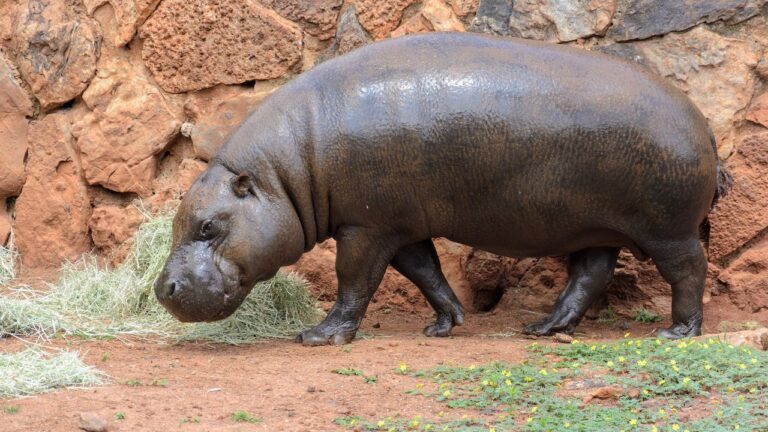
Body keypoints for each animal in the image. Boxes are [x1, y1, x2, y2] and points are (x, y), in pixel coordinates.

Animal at [154, 33, 730, 346]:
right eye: (183, 219)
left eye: (208, 226)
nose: (163, 289)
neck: (286, 171)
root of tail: (705, 124)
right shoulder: (400, 225)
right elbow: (425, 272)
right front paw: (446, 325)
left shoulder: (365, 226)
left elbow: (353, 280)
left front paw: (317, 337)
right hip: (595, 227)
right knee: (589, 275)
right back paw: (542, 329)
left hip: (666, 228)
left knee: (688, 270)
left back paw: (678, 332)